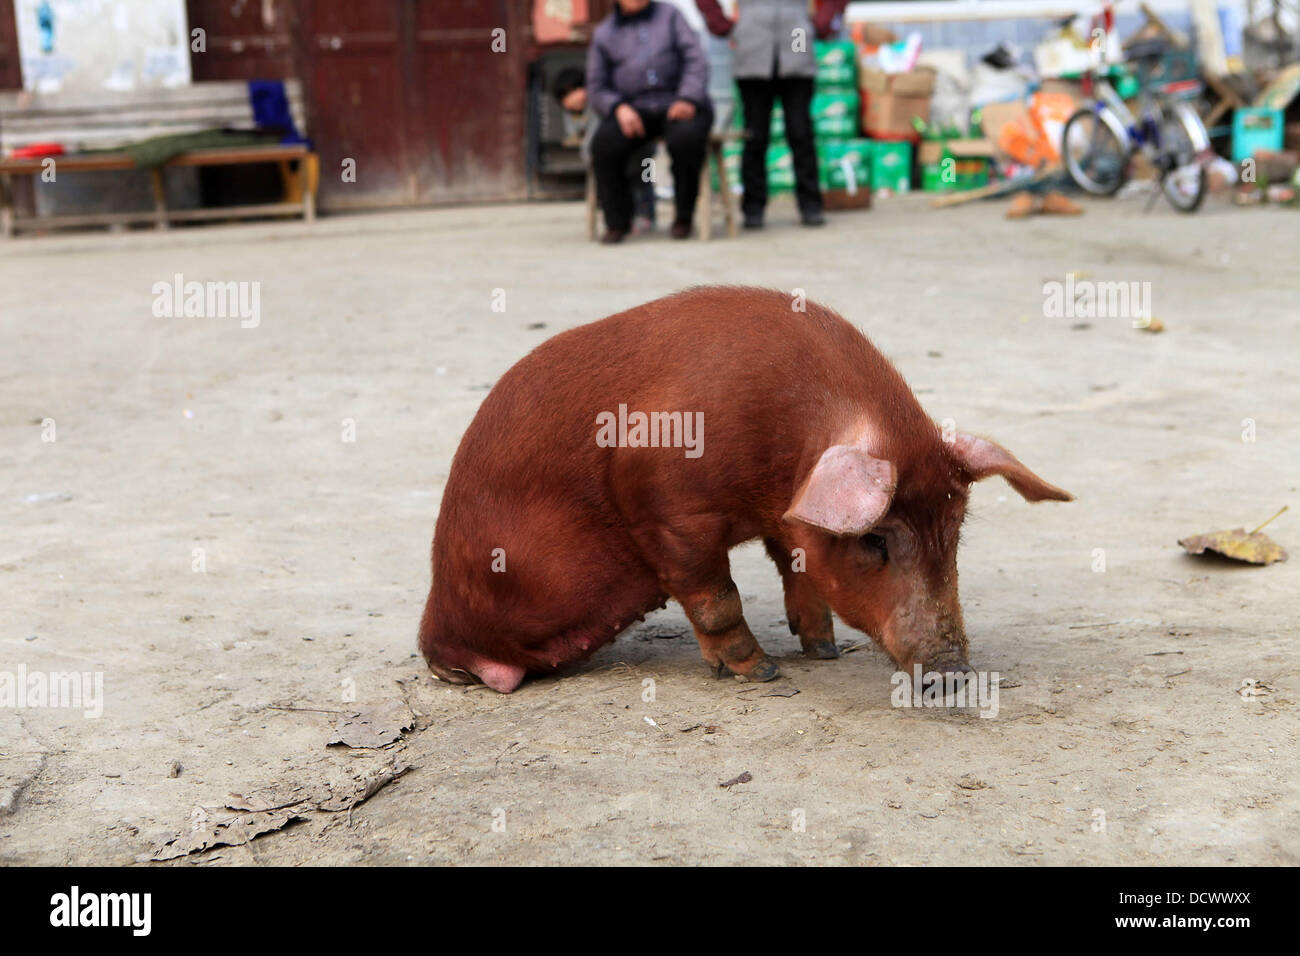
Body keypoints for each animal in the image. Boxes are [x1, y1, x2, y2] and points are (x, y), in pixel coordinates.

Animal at [418, 286, 1071, 693]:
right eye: (876, 540)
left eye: (954, 532)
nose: (953, 673)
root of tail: (430, 626)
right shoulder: (665, 505)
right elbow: (716, 597)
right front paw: (763, 674)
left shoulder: (789, 516)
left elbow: (798, 570)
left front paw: (822, 651)